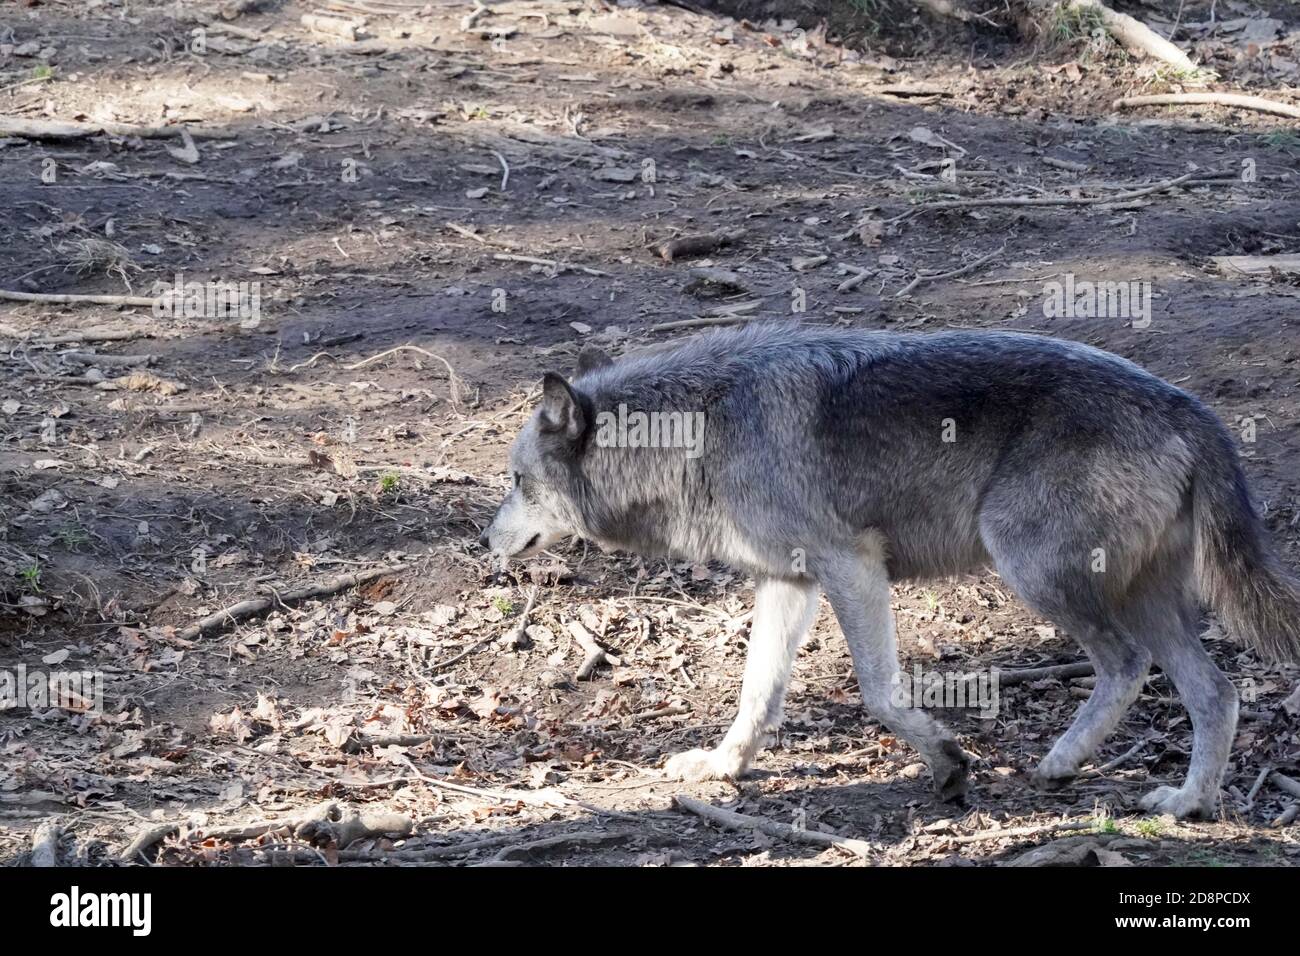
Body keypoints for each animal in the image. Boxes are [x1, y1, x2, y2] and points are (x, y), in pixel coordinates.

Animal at [480, 323, 1300, 819]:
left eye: (518, 482)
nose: (487, 540)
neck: (699, 430)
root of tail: (1194, 409)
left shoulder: (854, 567)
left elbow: (878, 693)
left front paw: (946, 760)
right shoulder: (791, 583)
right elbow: (756, 694)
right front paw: (723, 767)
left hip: (1032, 567)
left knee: (1128, 666)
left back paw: (1063, 764)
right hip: (1144, 600)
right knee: (1216, 692)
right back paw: (1187, 804)